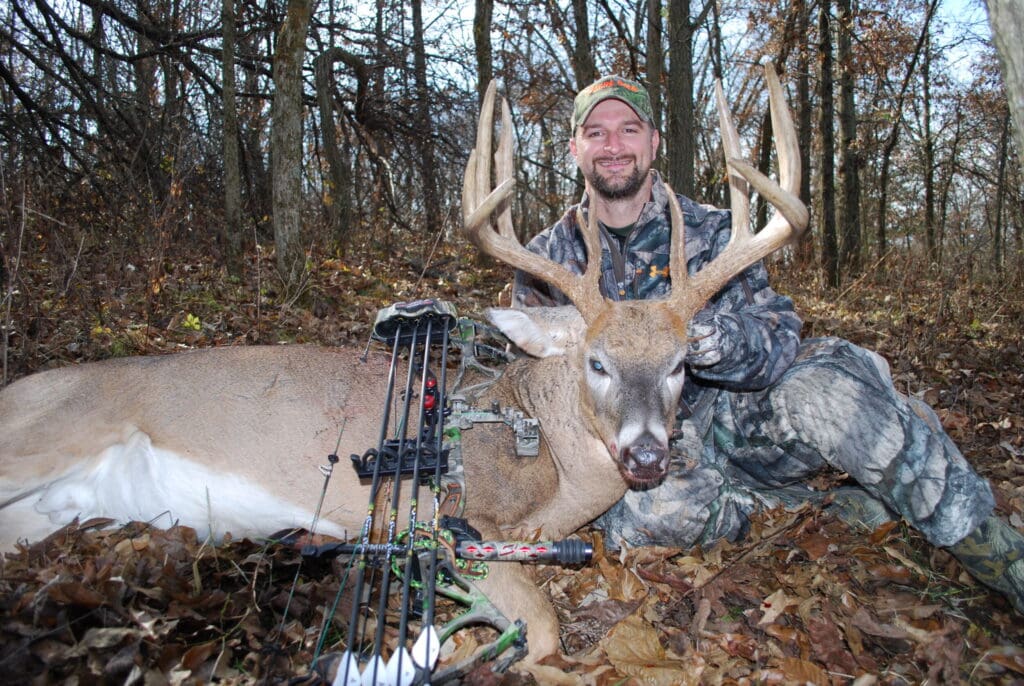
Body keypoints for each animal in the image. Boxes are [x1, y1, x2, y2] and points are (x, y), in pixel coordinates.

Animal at [0, 65, 806, 671]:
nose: (645, 455)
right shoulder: (459, 524)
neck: (546, 461)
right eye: (598, 363)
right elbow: (544, 629)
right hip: (47, 431)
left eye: (680, 365)